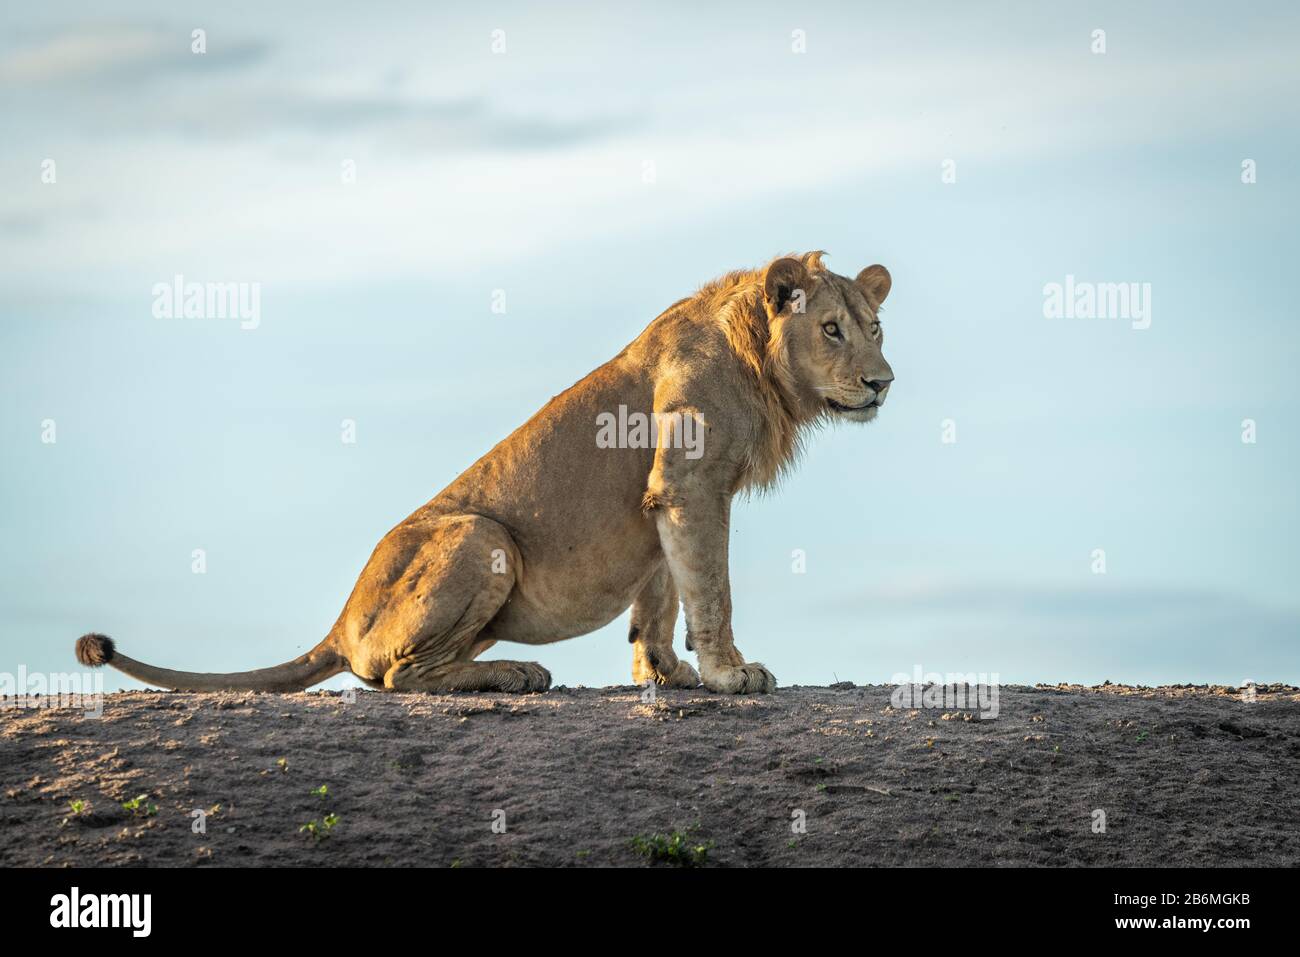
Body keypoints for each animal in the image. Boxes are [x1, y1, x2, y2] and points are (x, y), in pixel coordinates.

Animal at [75, 252, 895, 694]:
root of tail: (339, 622)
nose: (883, 383)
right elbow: (709, 591)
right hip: (481, 533)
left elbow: (661, 597)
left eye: (875, 326)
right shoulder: (692, 485)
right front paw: (732, 674)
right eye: (830, 329)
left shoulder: (664, 496)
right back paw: (515, 676)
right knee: (398, 677)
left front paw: (665, 674)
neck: (759, 365)